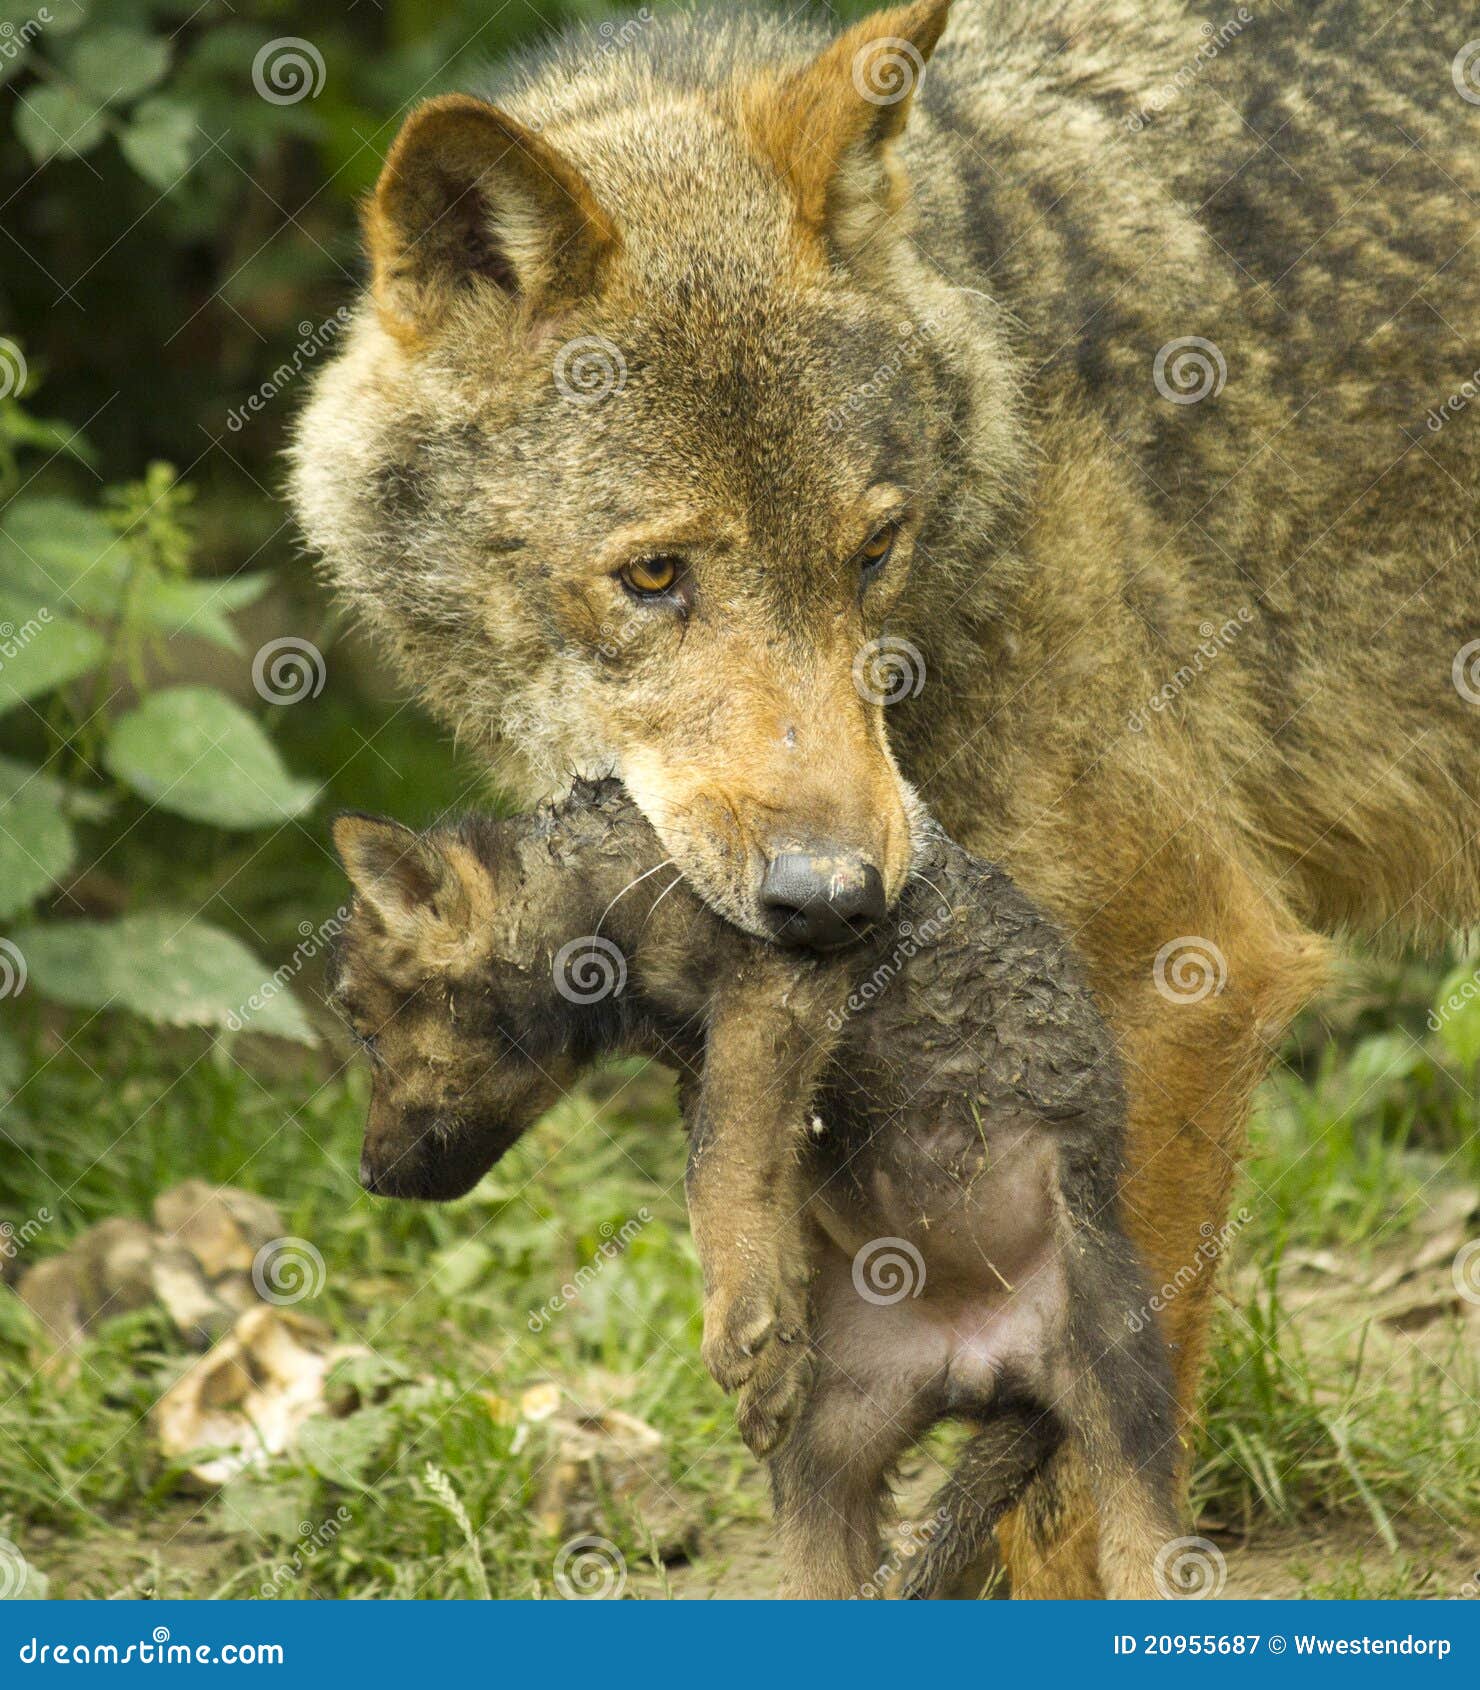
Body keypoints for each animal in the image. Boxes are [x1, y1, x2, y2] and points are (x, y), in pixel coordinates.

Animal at [329, 780, 1182, 1598]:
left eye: (365, 1032)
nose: (367, 1178)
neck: (597, 897)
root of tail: (978, 1370)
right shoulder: (727, 1072)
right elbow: (756, 1201)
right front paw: (769, 1348)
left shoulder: (771, 992)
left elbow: (715, 1174)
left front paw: (736, 1323)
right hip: (825, 1462)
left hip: (1119, 1401)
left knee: (1146, 1552)